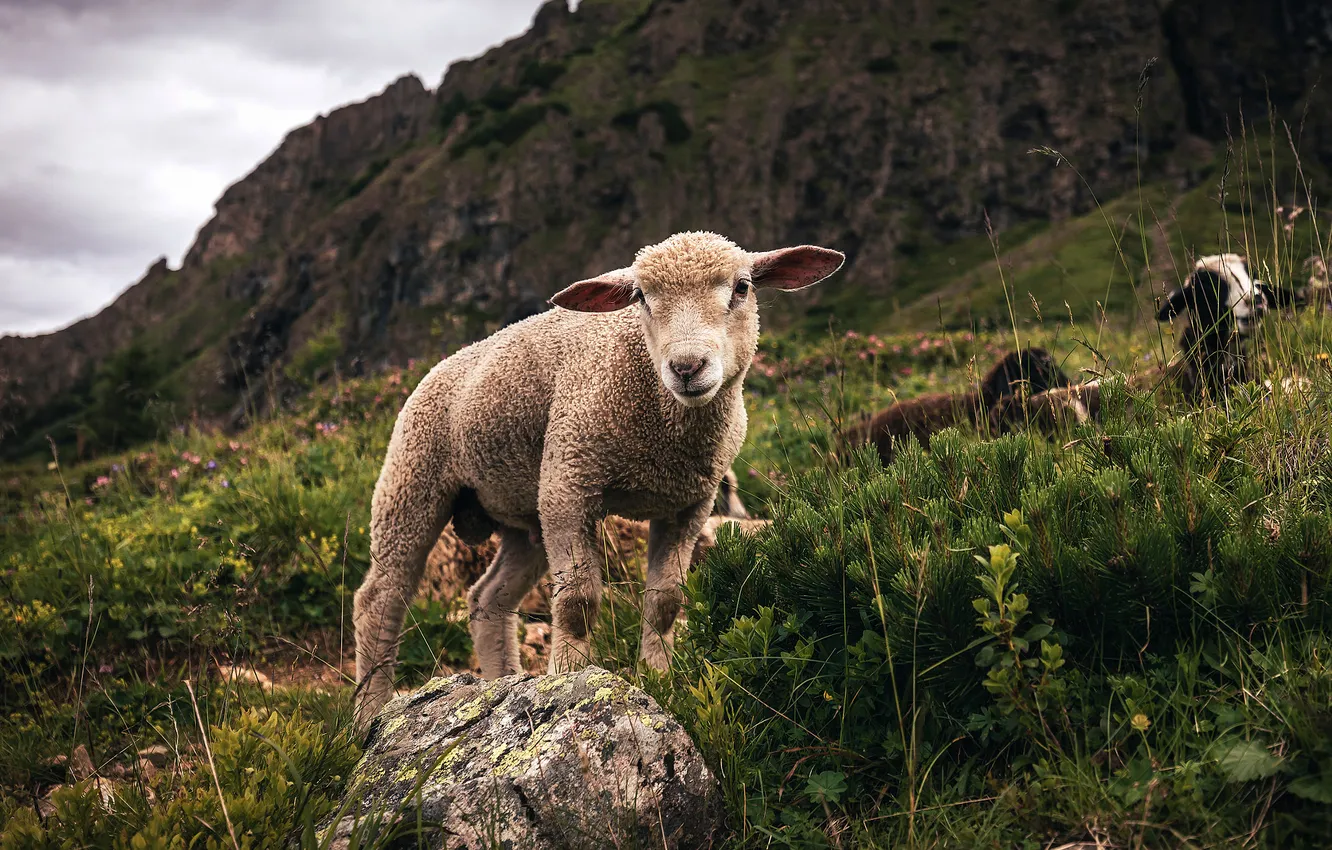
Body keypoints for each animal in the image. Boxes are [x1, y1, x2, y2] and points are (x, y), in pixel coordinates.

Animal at [352, 231, 844, 728]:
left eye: (742, 287)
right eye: (641, 297)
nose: (687, 368)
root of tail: (441, 366)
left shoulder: (690, 506)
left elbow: (665, 603)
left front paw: (659, 679)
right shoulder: (570, 484)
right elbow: (577, 604)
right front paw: (567, 679)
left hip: (526, 513)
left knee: (487, 599)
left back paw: (500, 683)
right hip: (413, 479)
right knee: (381, 599)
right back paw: (369, 714)